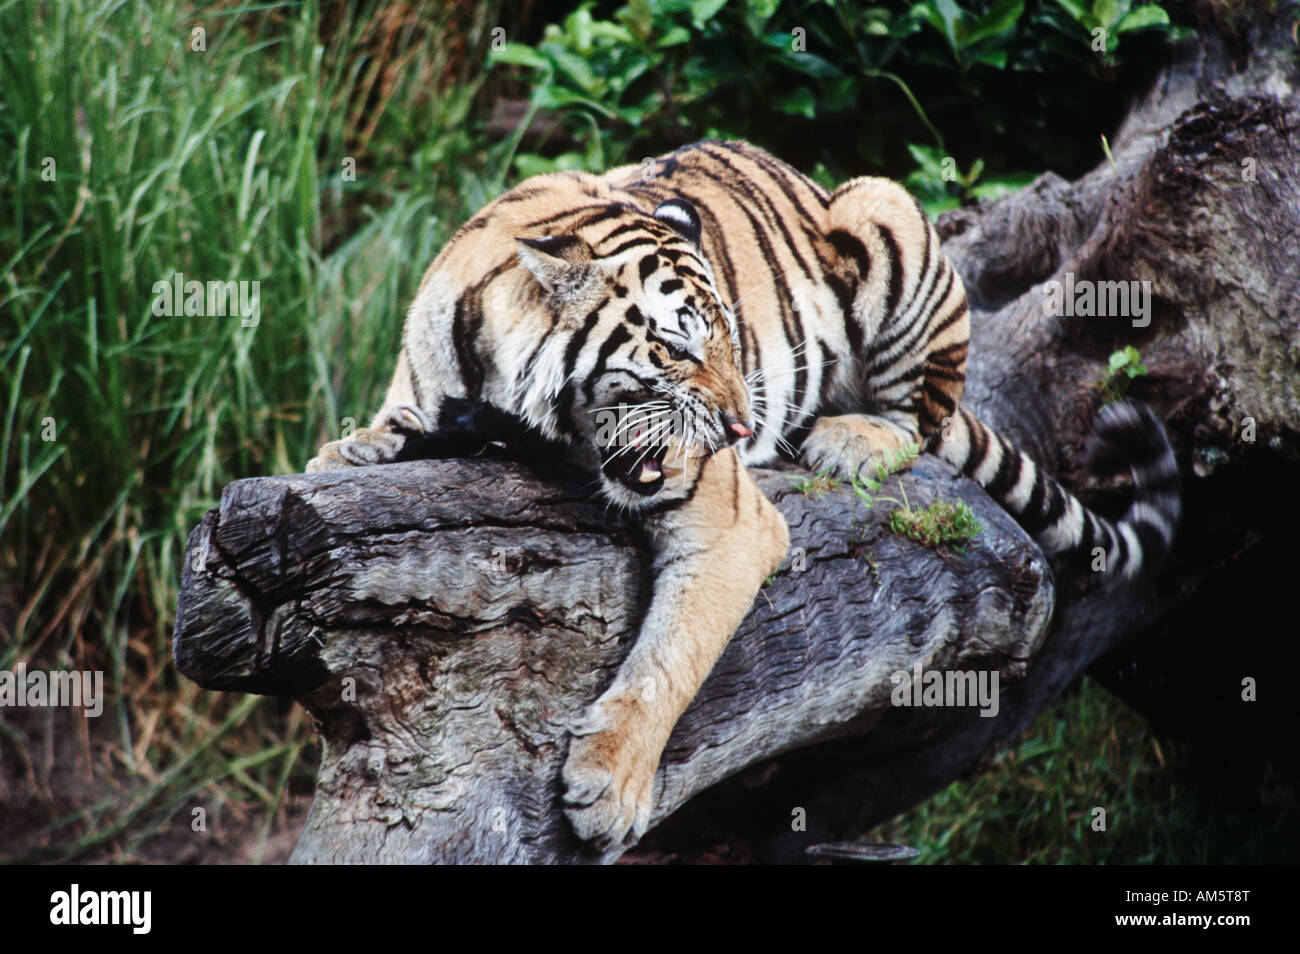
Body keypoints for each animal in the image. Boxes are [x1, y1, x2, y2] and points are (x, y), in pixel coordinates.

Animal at [307, 139, 1180, 851]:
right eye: (677, 343)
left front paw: (611, 789)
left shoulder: (732, 525)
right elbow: (379, 434)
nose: (738, 425)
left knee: (922, 419)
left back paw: (849, 437)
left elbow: (671, 658)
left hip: (883, 211)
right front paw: (352, 451)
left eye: (730, 335)